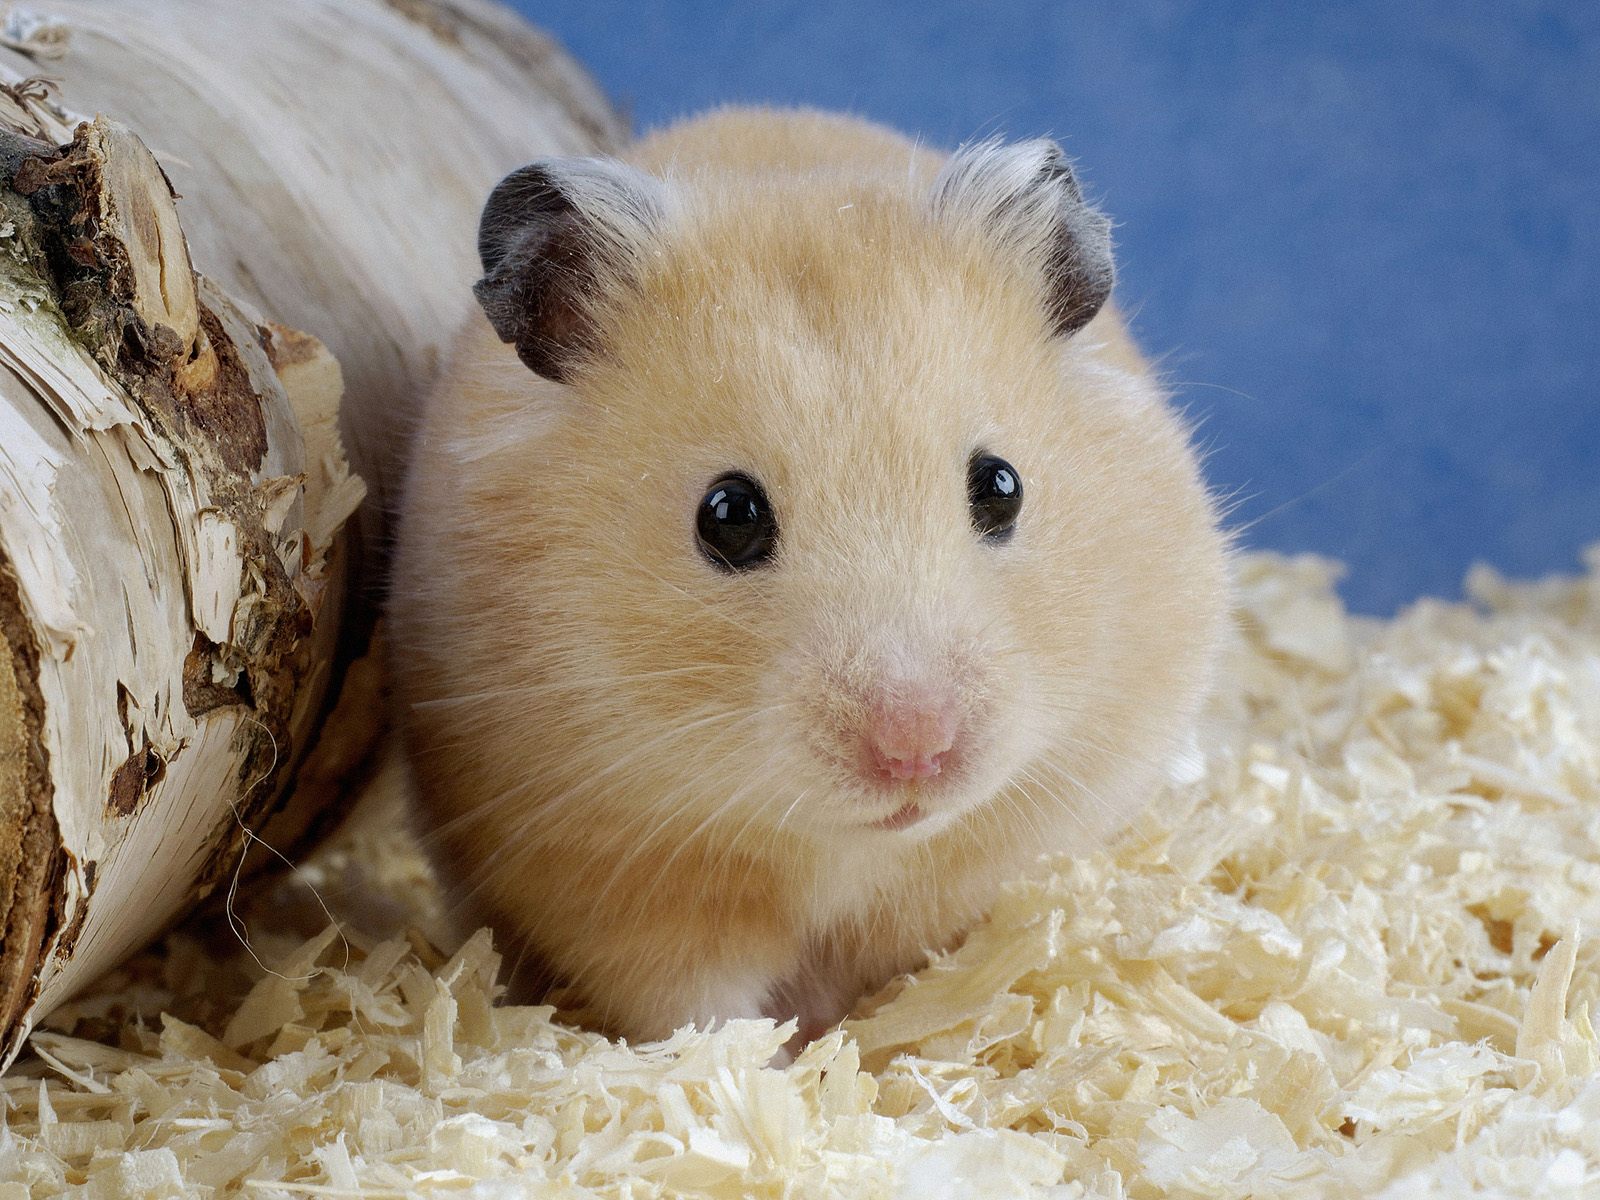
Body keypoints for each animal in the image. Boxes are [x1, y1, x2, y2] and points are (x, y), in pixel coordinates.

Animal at [387, 107, 1230, 1046]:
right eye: (728, 516)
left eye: (1002, 486)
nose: (916, 752)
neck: (846, 843)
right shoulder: (611, 874)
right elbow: (695, 1006)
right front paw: (777, 1060)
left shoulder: (1002, 846)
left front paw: (868, 1037)